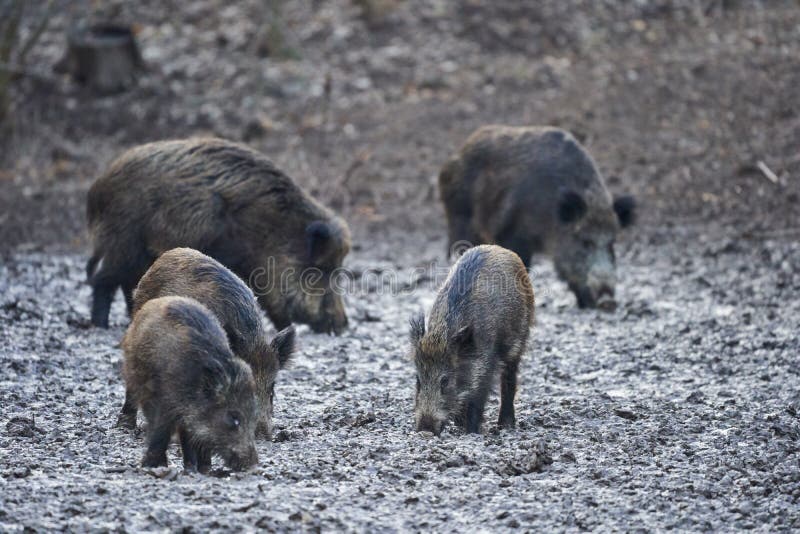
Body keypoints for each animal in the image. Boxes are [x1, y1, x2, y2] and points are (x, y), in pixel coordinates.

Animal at [86, 137, 350, 333]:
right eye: (321, 269)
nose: (342, 325)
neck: (274, 234)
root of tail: (98, 189)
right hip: (124, 242)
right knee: (104, 280)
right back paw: (101, 325)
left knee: (129, 282)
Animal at [120, 295, 258, 472]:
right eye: (234, 418)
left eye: (254, 417)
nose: (253, 465)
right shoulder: (165, 402)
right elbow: (161, 431)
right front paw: (152, 465)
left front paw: (200, 468)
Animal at [410, 245, 534, 436]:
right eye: (418, 380)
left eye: (445, 381)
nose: (425, 430)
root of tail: (501, 249)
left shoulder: (485, 364)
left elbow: (478, 397)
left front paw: (471, 431)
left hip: (518, 341)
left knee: (509, 379)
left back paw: (506, 425)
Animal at [439, 125, 635, 310]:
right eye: (585, 242)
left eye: (611, 243)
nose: (608, 300)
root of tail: (454, 158)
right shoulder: (513, 233)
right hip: (459, 216)